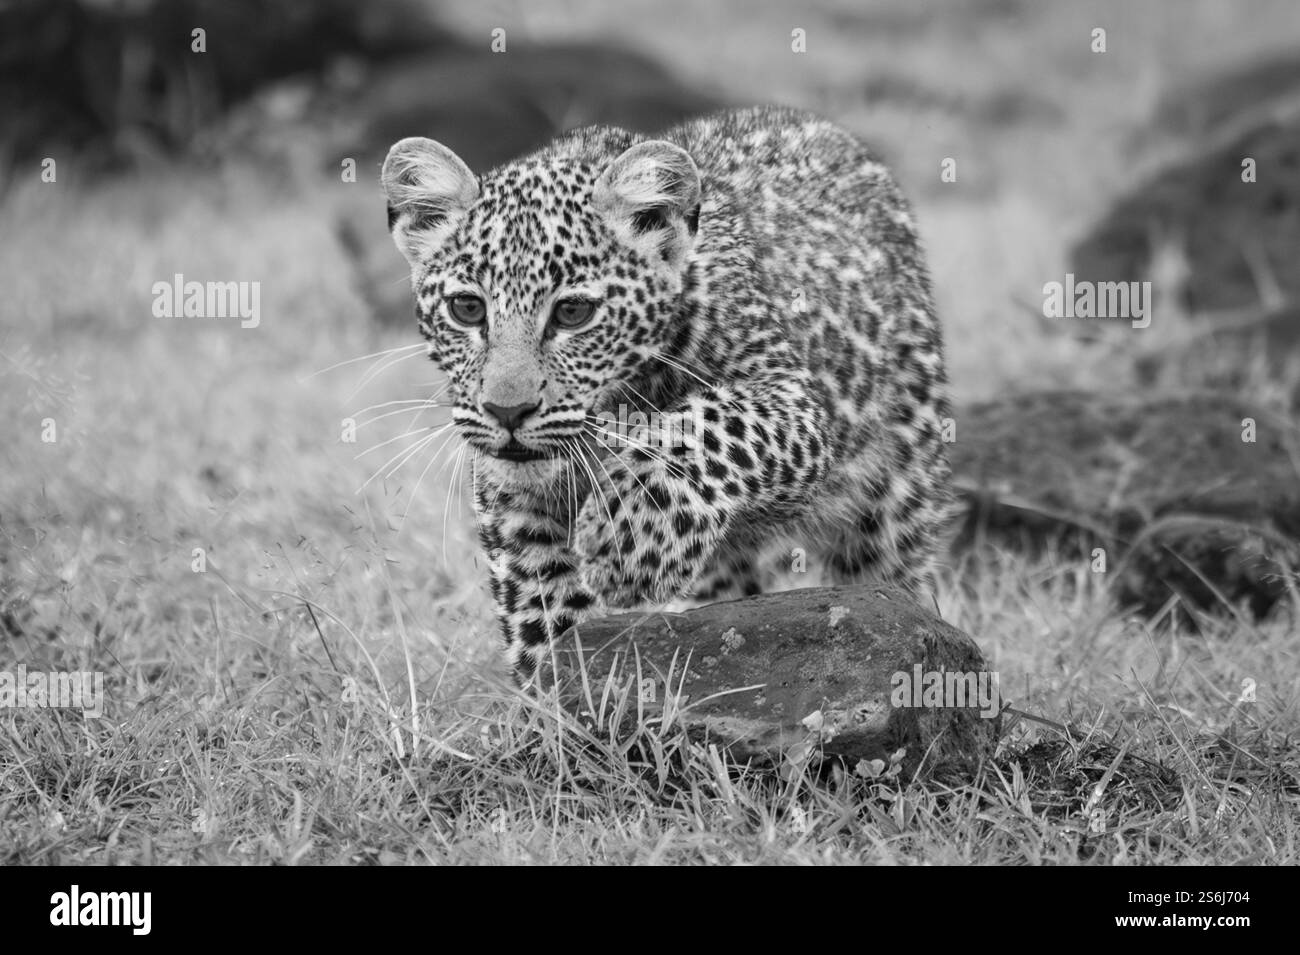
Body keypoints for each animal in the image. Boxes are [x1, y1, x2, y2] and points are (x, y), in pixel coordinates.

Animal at [380, 105, 954, 683]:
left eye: (573, 312)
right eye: (467, 309)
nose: (507, 411)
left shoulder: (793, 403)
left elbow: (709, 424)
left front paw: (626, 540)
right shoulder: (516, 502)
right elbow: (545, 612)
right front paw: (570, 691)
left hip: (893, 498)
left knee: (894, 570)